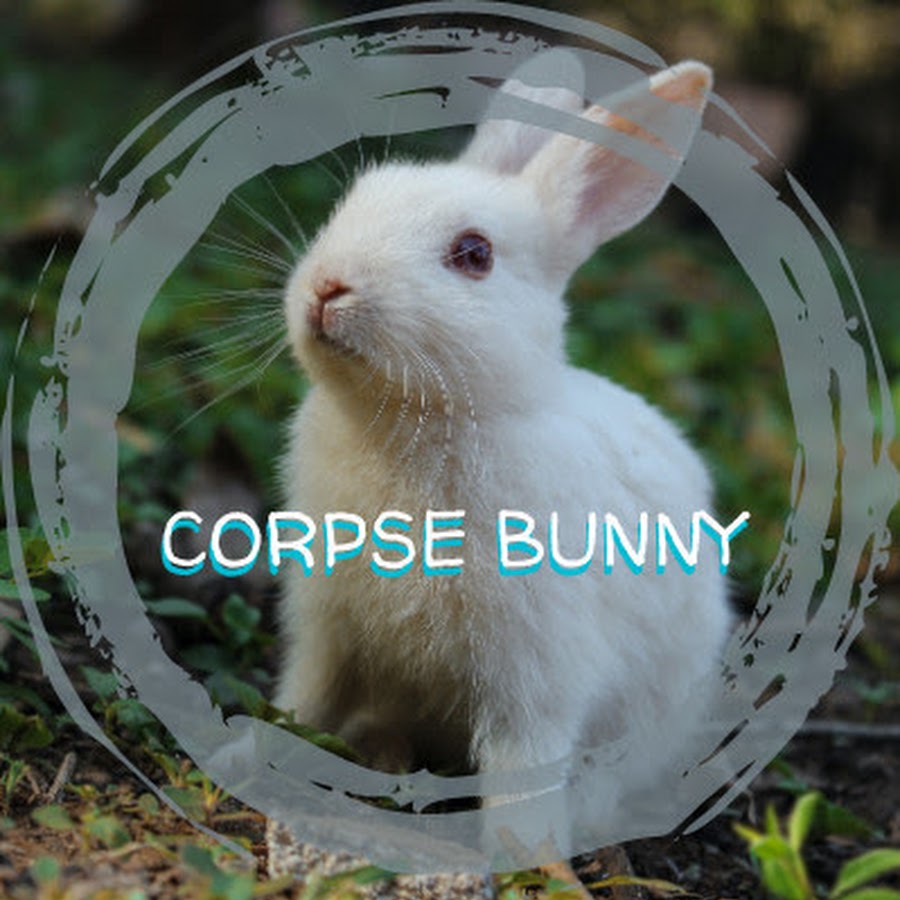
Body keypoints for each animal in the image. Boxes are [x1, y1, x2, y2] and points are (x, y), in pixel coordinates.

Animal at [274, 60, 732, 809]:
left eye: (473, 254)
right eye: (356, 200)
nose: (327, 287)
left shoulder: (534, 676)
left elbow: (522, 783)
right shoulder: (328, 630)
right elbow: (302, 702)